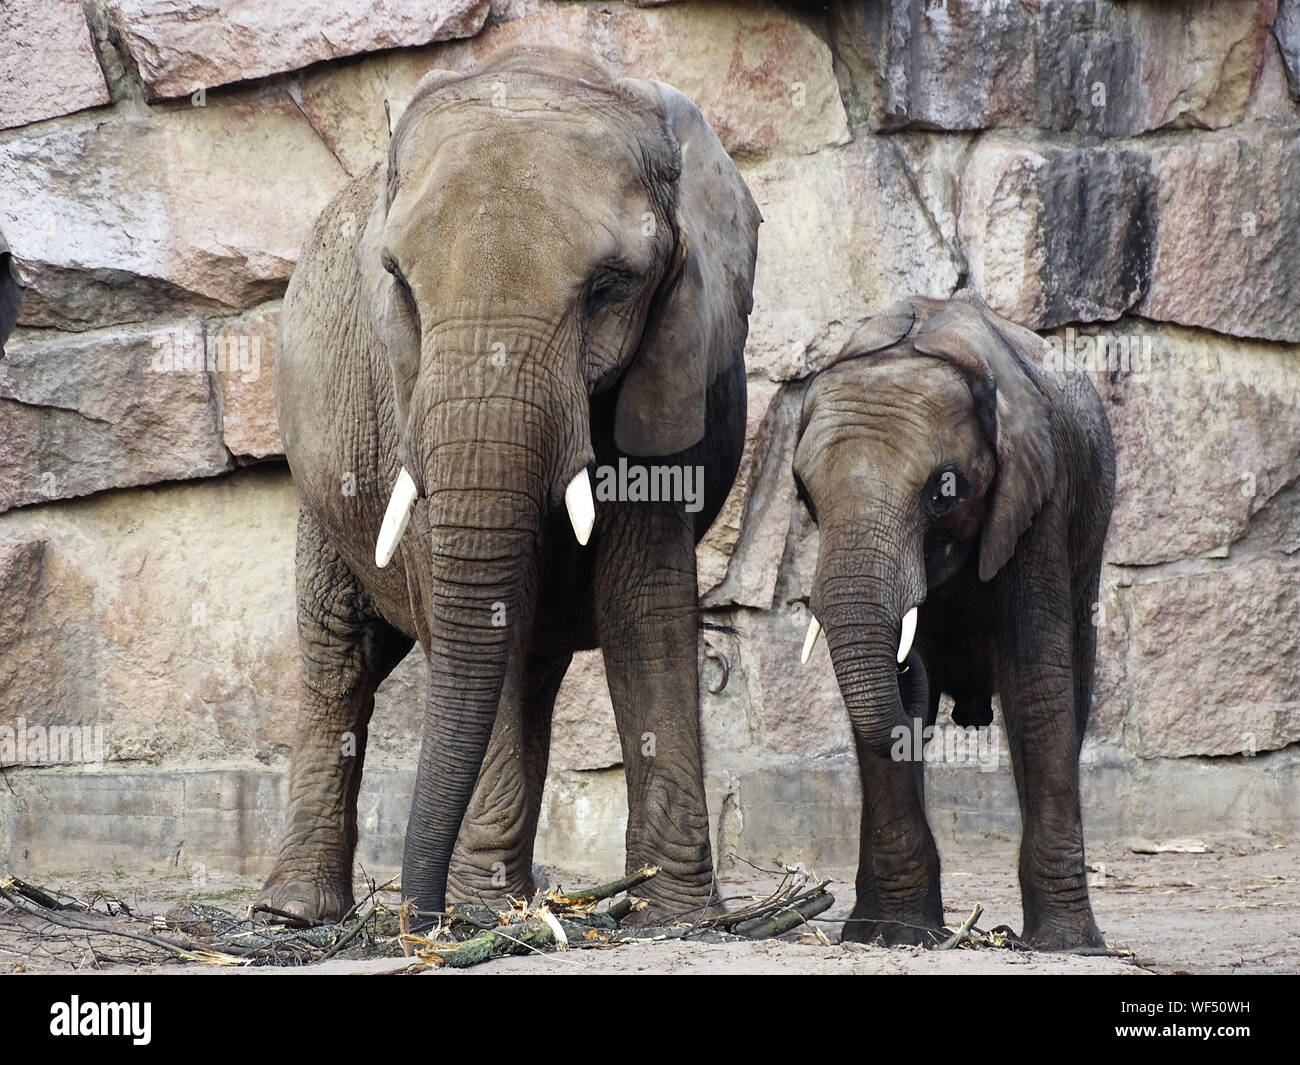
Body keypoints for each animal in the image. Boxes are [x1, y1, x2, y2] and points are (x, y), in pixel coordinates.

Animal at [259, 46, 761, 925]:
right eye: (398, 281)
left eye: (611, 287)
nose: (419, 916)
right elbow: (478, 605)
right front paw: (485, 916)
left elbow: (645, 602)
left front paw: (677, 917)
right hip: (322, 482)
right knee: (341, 653)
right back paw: (297, 912)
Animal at [793, 292, 1115, 951]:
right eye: (803, 493)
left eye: (945, 493)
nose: (909, 665)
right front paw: (900, 936)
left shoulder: (1041, 501)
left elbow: (1036, 686)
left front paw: (1067, 946)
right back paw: (866, 929)